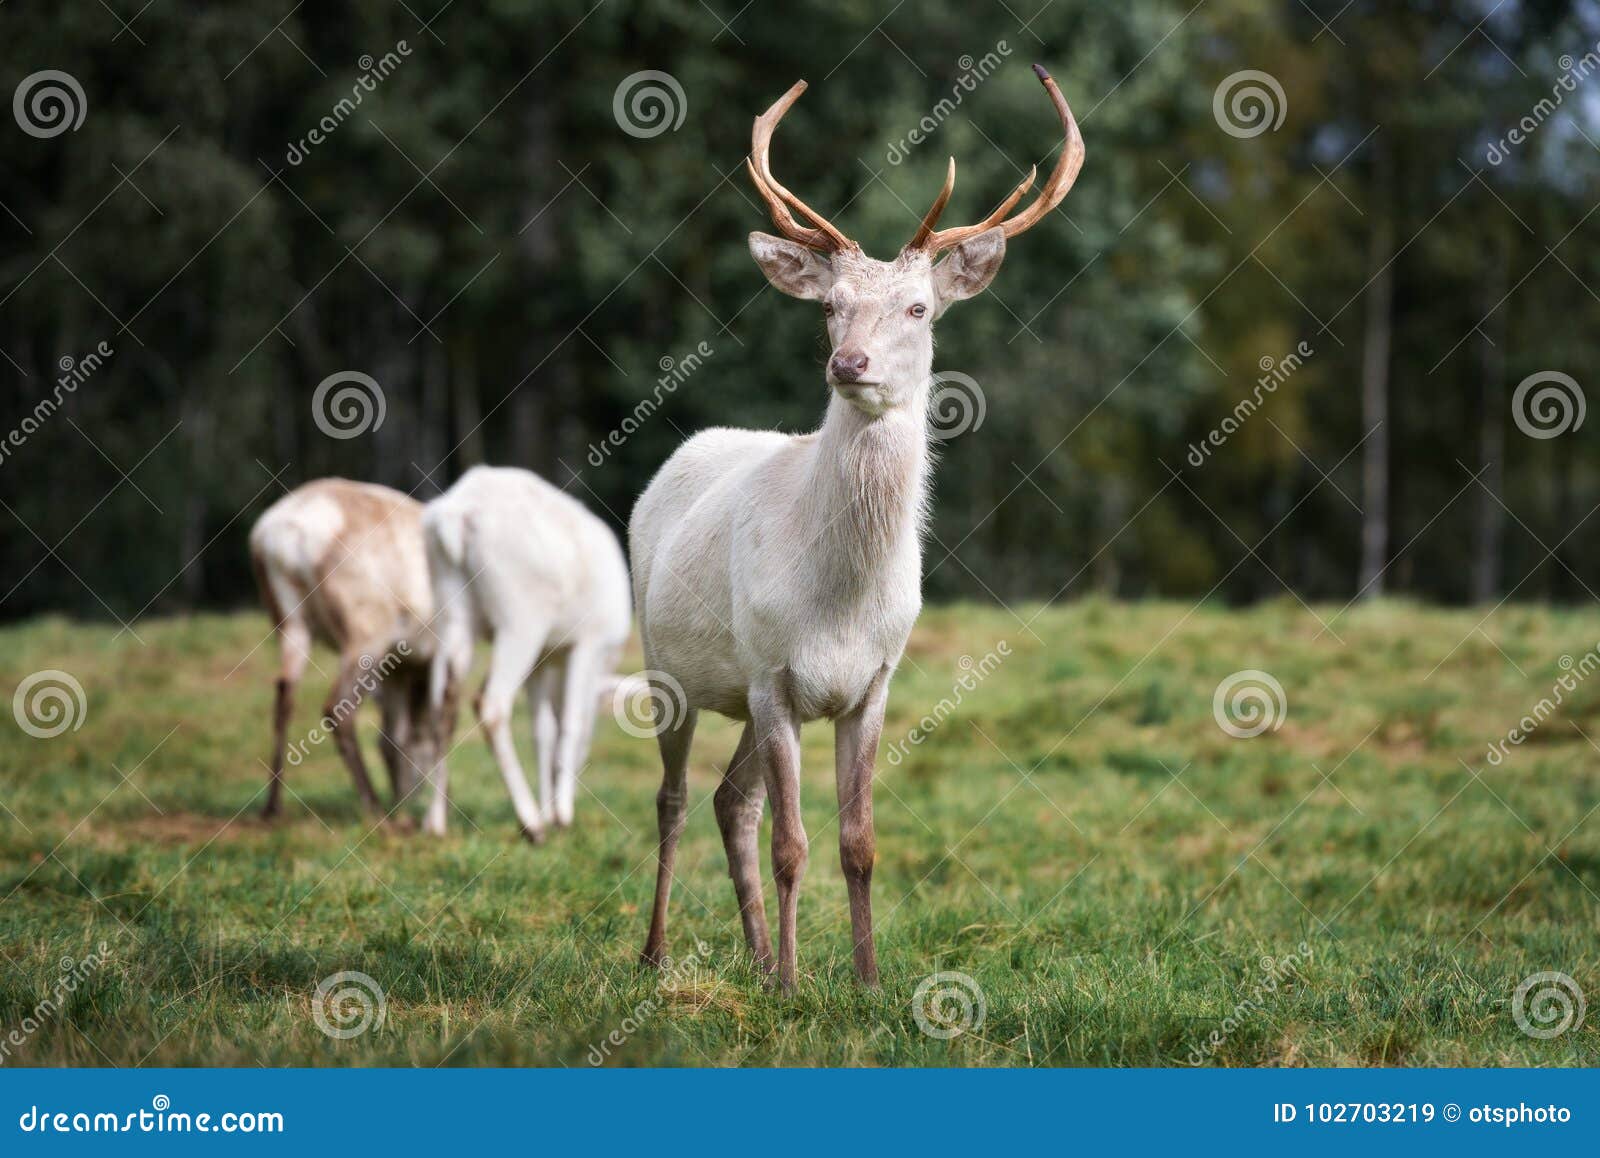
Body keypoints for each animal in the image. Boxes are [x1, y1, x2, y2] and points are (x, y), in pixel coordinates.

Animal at [249, 478, 443, 821]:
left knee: (284, 691)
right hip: (366, 630)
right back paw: (374, 807)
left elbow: (394, 734)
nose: (417, 794)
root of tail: (284, 537)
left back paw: (272, 807)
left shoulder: (400, 664)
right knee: (337, 707)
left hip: (289, 620)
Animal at [421, 465, 632, 842]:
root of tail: (454, 516)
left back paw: (435, 823)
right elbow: (570, 722)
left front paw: (551, 807)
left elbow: (542, 730)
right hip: (521, 618)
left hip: (449, 613)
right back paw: (531, 823)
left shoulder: (543, 660)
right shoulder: (589, 642)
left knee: (440, 705)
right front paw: (561, 815)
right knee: (490, 705)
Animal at [630, 65, 1083, 991]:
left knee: (732, 800)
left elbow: (858, 841)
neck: (838, 602)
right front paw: (797, 985)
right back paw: (660, 952)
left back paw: (756, 954)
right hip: (670, 665)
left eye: (918, 309)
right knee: (676, 798)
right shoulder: (772, 673)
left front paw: (866, 979)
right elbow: (793, 844)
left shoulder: (871, 680)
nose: (849, 363)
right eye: (831, 306)